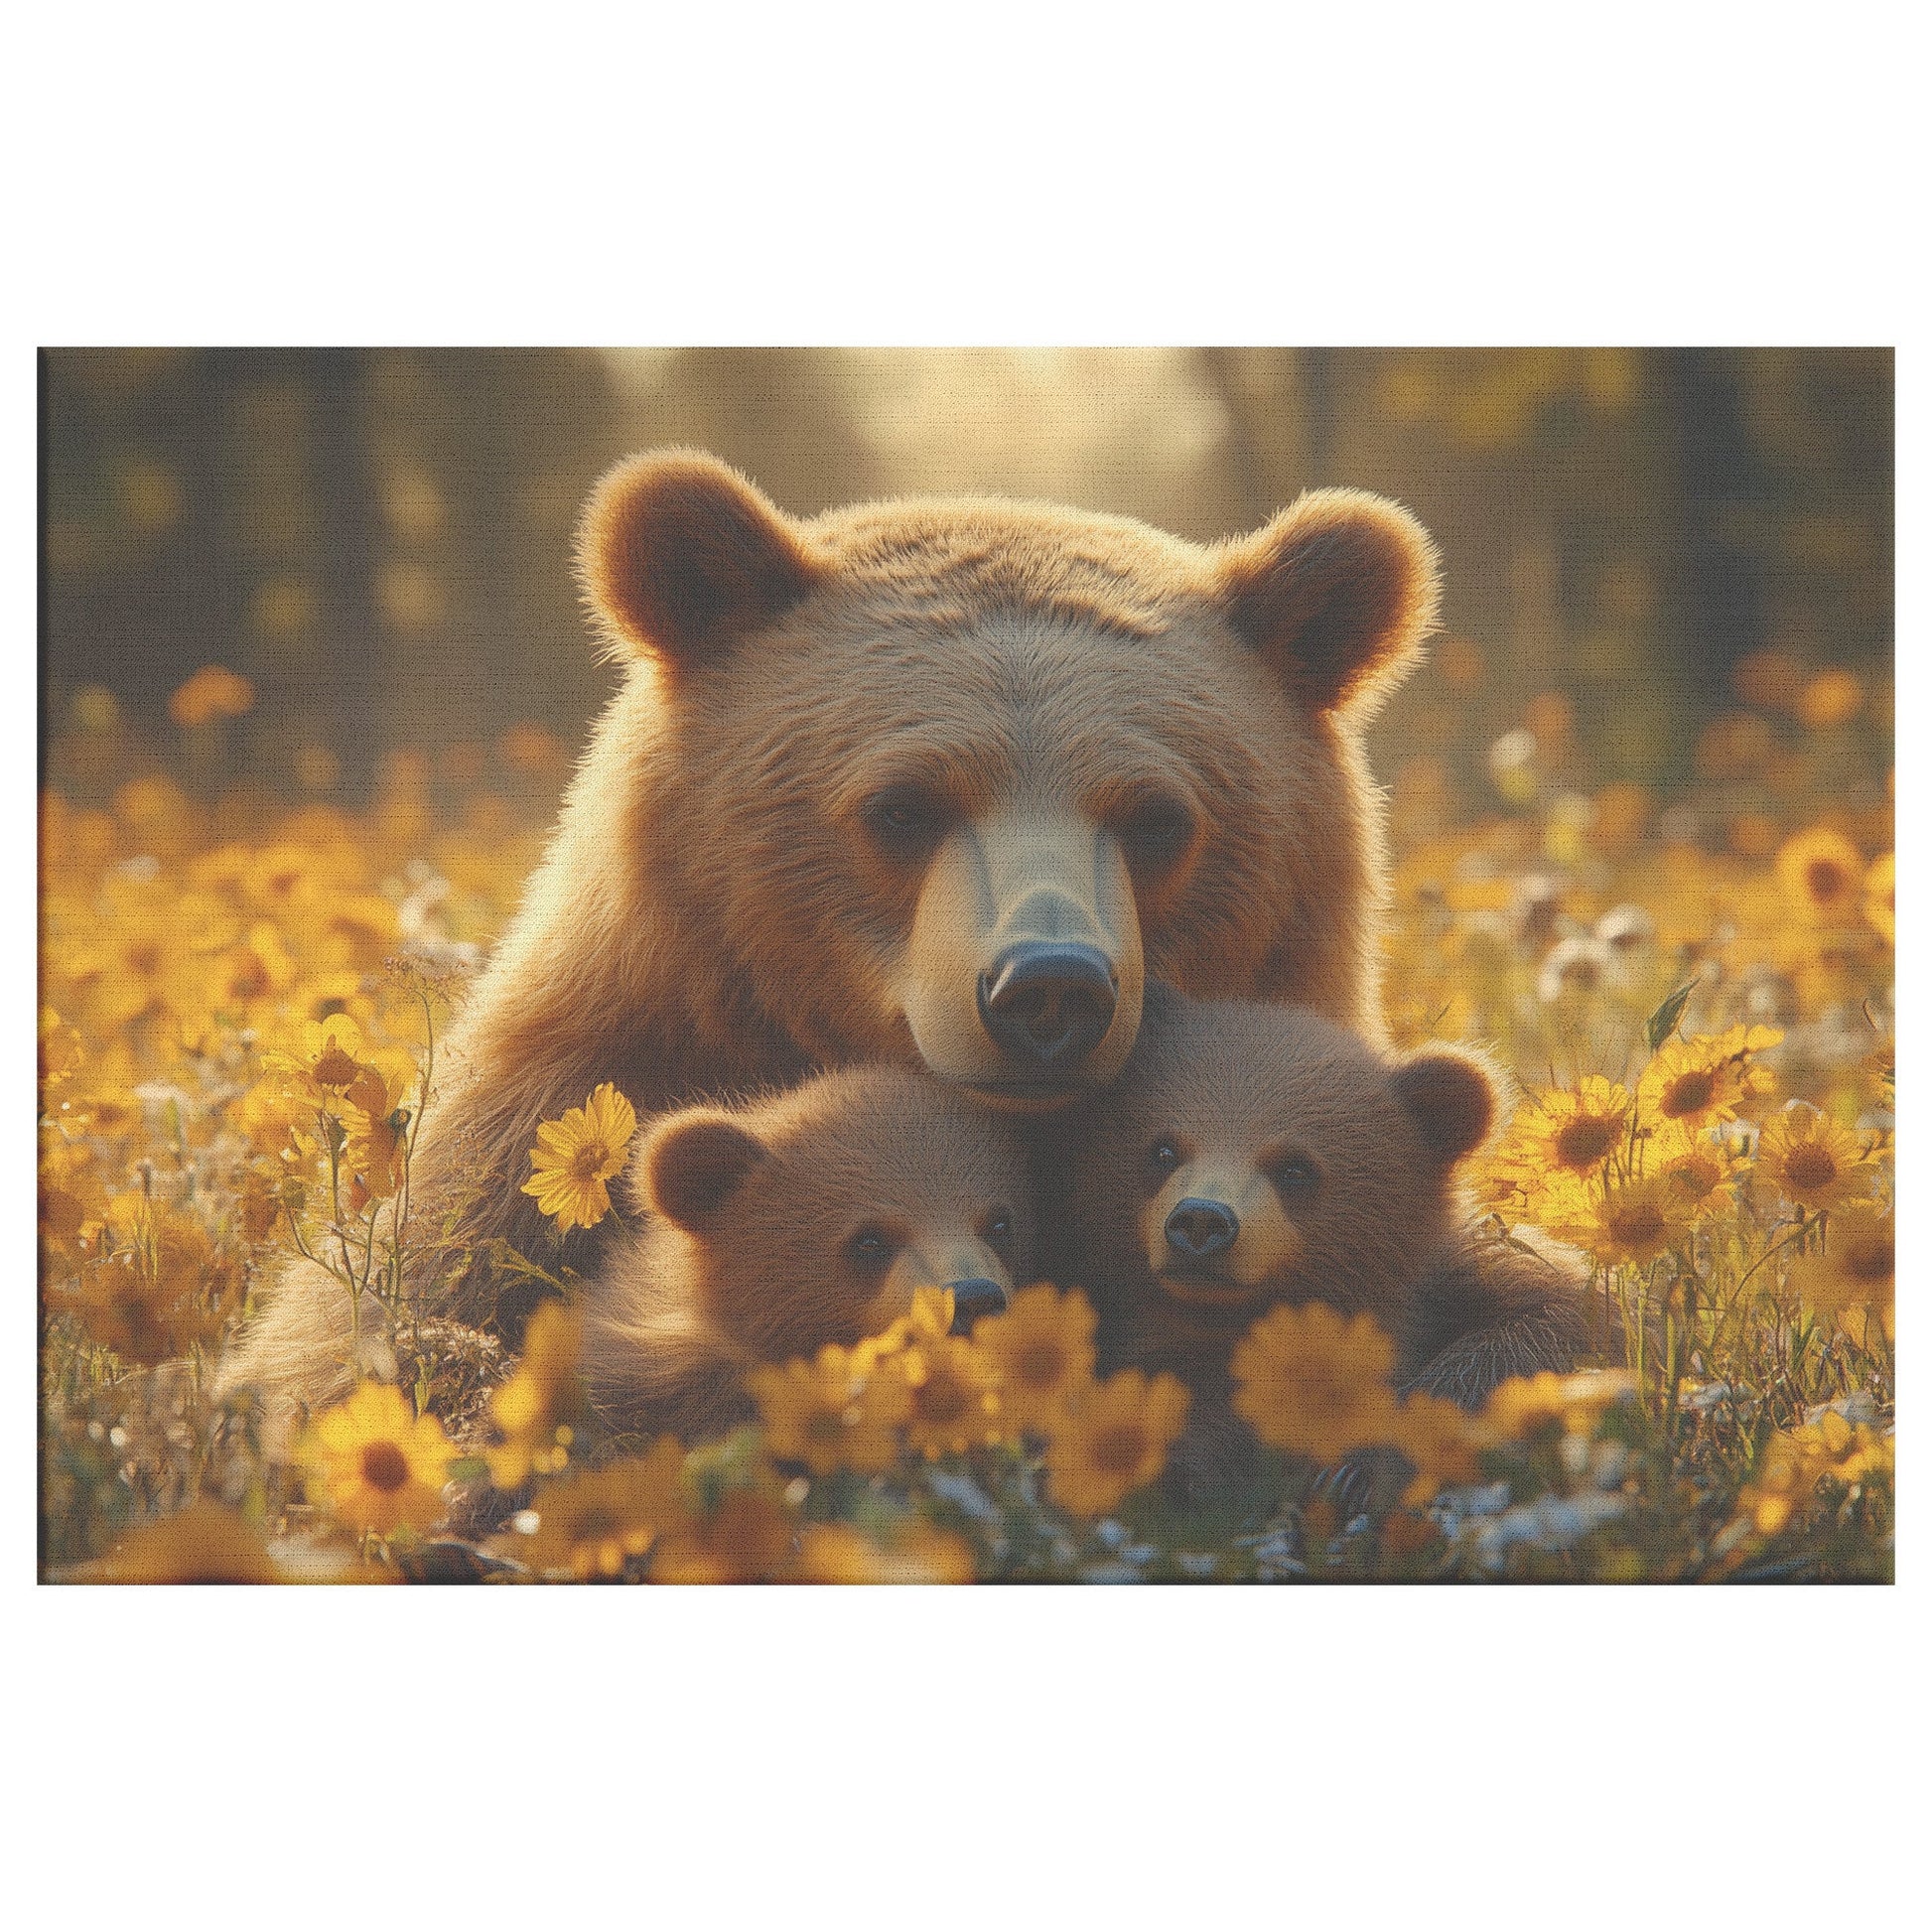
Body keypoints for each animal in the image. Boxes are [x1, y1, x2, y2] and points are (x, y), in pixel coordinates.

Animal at [1035, 987, 1601, 1506]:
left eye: (1295, 1168)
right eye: (1163, 1148)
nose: (1201, 1222)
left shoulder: (1450, 1280)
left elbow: (1550, 1323)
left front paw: (1350, 1473)